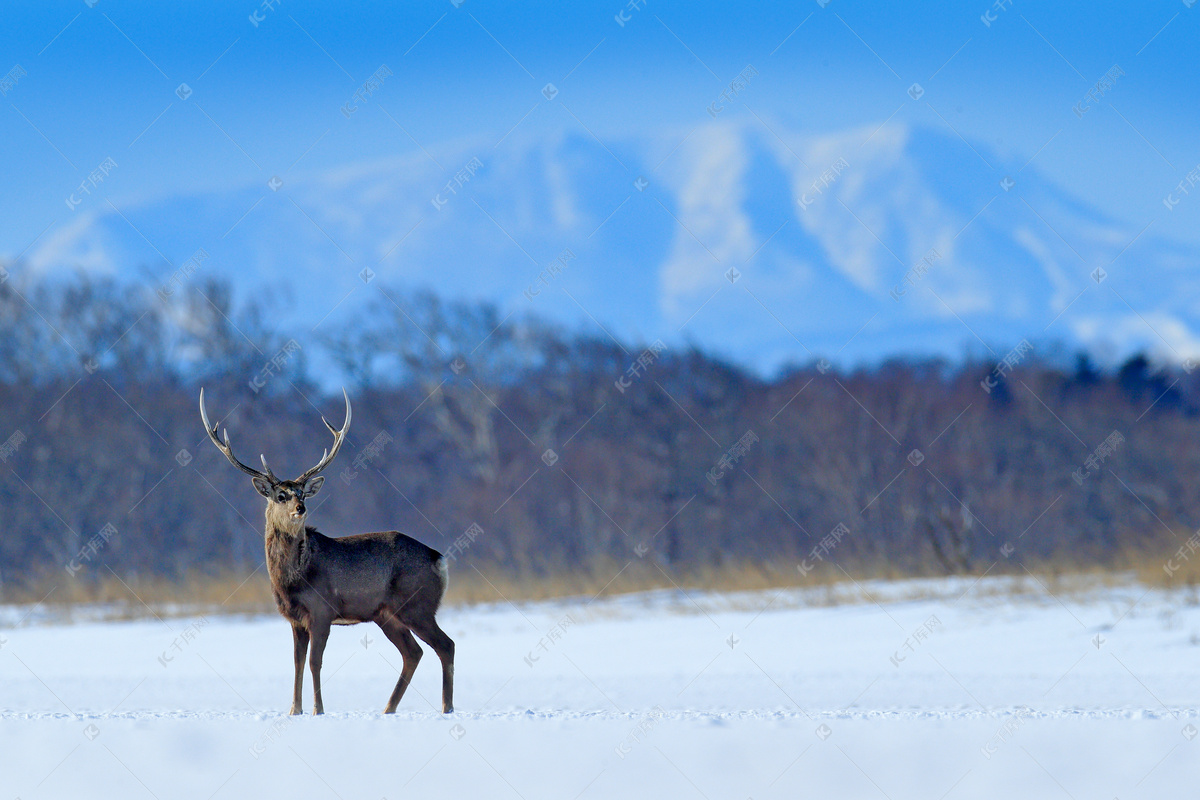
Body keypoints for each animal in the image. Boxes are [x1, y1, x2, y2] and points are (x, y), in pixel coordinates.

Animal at [199, 388, 454, 716]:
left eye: (302, 493)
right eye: (280, 495)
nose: (300, 508)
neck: (292, 580)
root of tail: (439, 558)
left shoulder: (322, 610)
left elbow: (314, 662)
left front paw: (318, 710)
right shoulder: (294, 618)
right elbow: (296, 663)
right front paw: (294, 710)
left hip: (417, 604)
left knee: (445, 645)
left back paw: (446, 708)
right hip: (387, 614)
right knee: (414, 652)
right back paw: (388, 709)